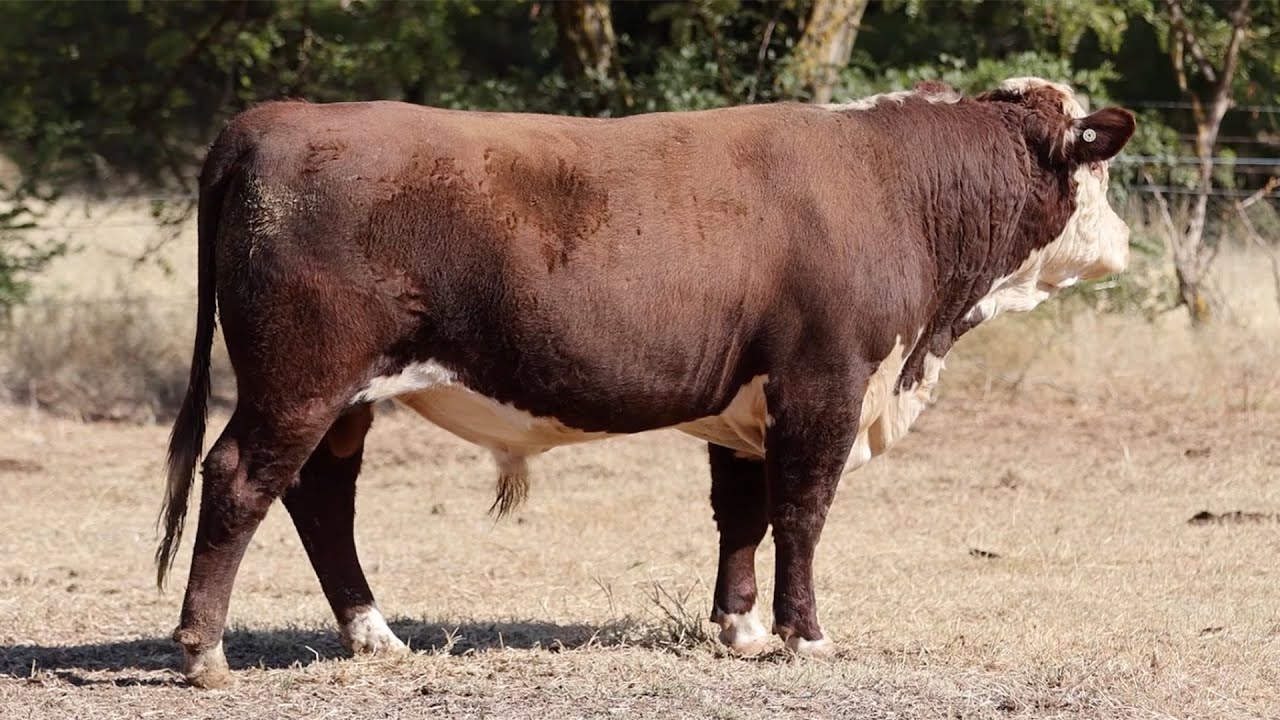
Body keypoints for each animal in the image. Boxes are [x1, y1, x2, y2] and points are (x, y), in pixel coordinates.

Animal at [155, 77, 1135, 688]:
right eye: (1096, 159)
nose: (1125, 243)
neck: (897, 183)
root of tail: (271, 120)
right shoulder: (825, 382)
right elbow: (801, 512)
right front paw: (806, 635)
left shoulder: (751, 404)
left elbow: (741, 515)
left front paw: (740, 628)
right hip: (301, 378)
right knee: (241, 479)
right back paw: (204, 651)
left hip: (344, 401)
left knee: (321, 497)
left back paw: (375, 635)